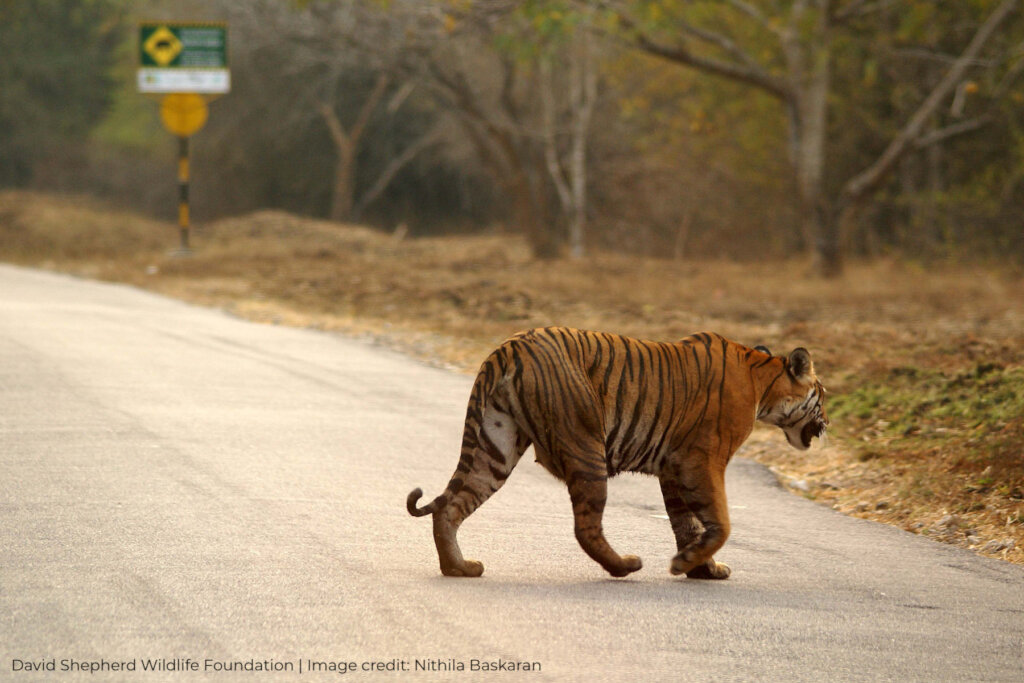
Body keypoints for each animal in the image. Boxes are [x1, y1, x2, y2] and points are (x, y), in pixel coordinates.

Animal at [407, 327, 828, 580]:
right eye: (822, 396)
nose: (827, 424)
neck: (764, 383)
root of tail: (509, 346)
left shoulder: (674, 469)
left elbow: (687, 523)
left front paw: (700, 568)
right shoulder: (702, 461)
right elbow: (720, 522)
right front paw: (686, 564)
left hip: (495, 445)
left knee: (450, 506)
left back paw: (459, 567)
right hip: (586, 445)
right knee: (585, 527)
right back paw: (624, 565)